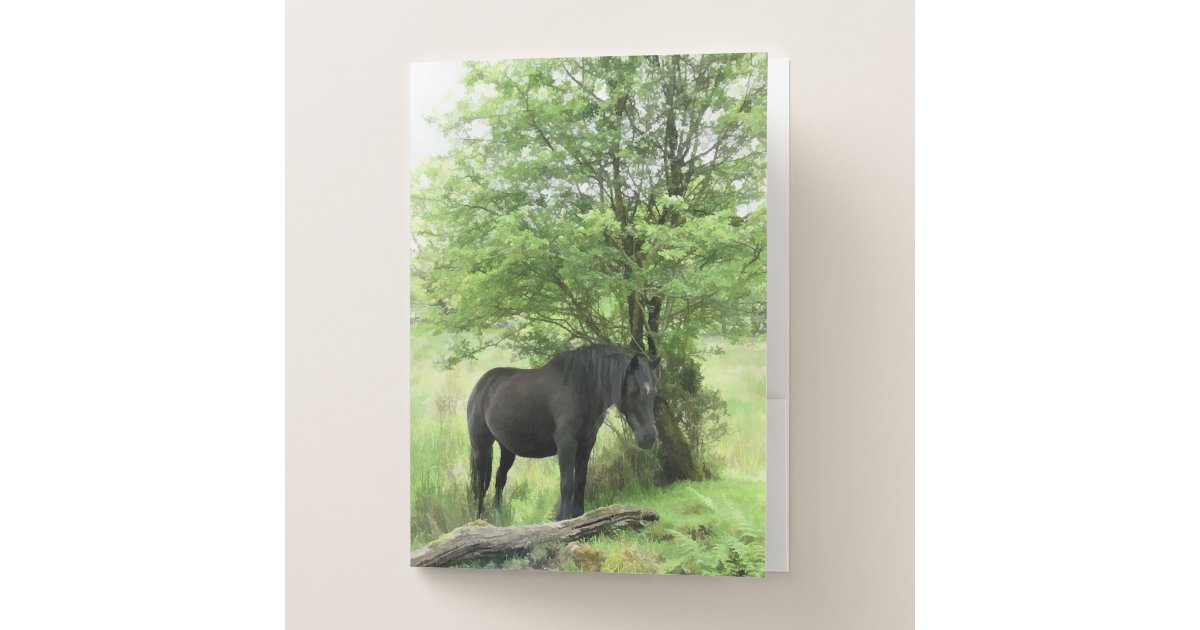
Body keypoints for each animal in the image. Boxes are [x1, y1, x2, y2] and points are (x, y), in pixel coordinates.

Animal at [465, 344, 660, 521]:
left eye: (653, 393)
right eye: (634, 391)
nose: (648, 438)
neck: (581, 388)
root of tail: (480, 385)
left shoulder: (587, 443)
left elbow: (580, 480)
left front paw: (579, 515)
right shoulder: (566, 443)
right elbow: (567, 482)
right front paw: (563, 518)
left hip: (507, 449)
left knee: (499, 480)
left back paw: (499, 518)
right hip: (481, 446)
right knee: (480, 484)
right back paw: (479, 519)